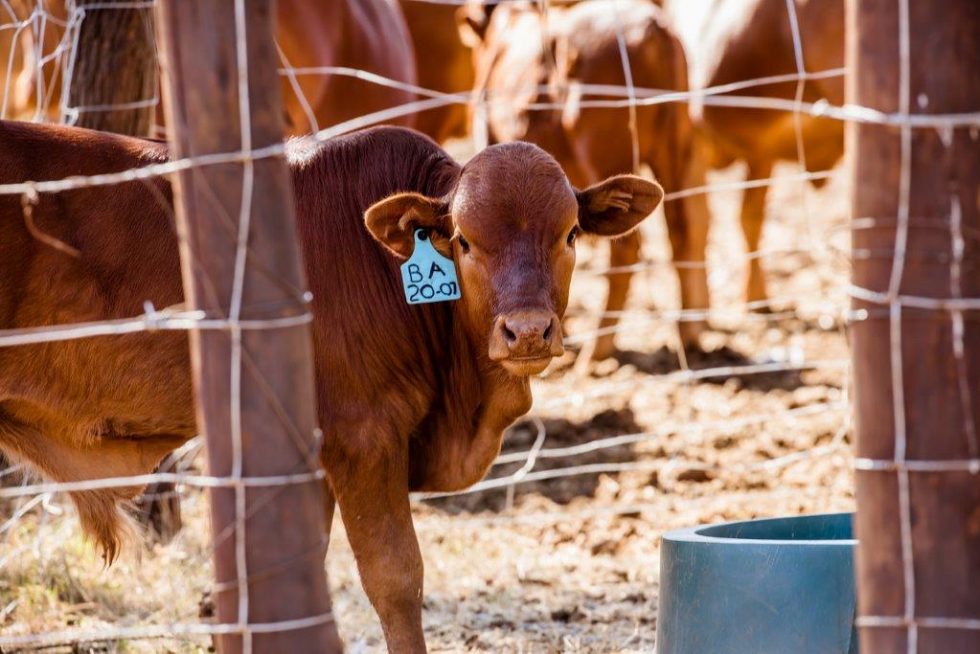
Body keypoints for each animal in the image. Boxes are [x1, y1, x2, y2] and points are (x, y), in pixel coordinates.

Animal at [459, 0, 710, 366]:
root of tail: (652, 28)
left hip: (607, 155)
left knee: (627, 248)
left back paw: (598, 348)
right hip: (676, 145)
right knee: (683, 229)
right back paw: (688, 333)